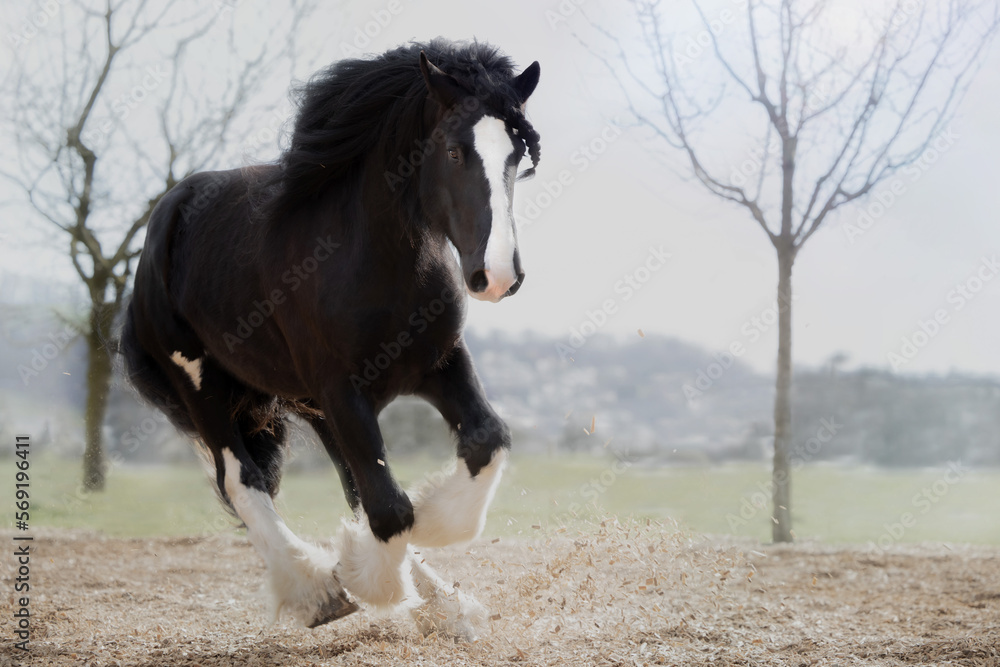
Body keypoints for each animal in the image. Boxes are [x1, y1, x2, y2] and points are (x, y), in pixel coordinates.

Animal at [119, 39, 541, 638]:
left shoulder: (438, 364)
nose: (499, 275)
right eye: (456, 152)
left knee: (350, 487)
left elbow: (484, 441)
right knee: (241, 479)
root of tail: (164, 221)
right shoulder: (342, 390)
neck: (376, 260)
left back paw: (440, 603)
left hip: (313, 407)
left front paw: (422, 546)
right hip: (202, 386)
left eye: (518, 156)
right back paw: (317, 591)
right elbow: (391, 507)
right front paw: (373, 581)